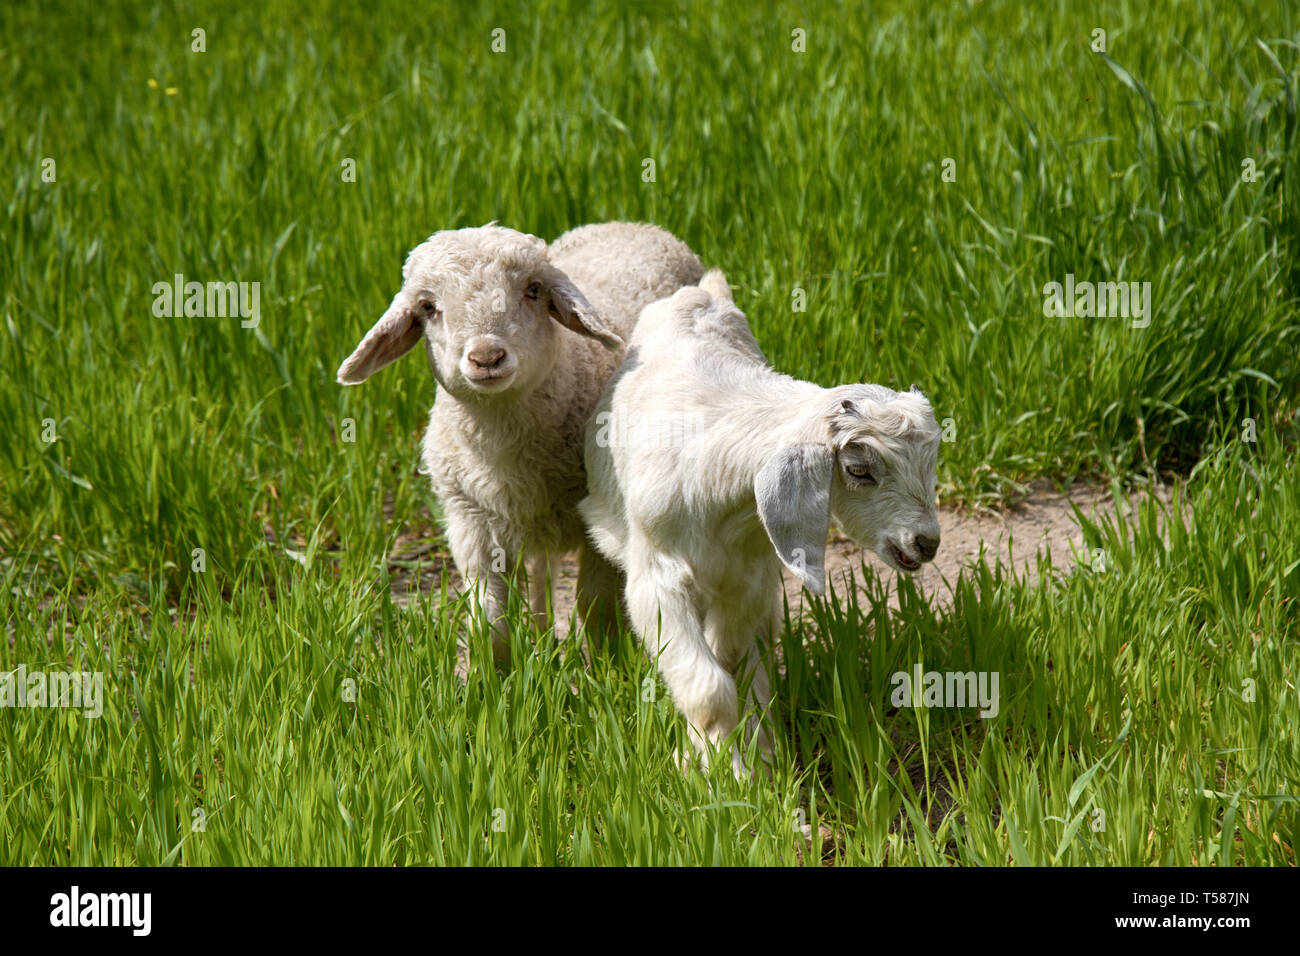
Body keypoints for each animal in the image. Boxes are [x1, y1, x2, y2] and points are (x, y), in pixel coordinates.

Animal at [337, 222, 704, 663]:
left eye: (533, 290)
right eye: (427, 307)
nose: (487, 358)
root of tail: (632, 225)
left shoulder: (602, 518)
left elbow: (595, 607)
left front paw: (608, 667)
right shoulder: (470, 522)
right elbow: (489, 621)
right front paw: (497, 676)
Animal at [579, 272, 943, 775]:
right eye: (859, 470)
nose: (926, 542)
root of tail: (706, 291)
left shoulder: (747, 578)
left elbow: (731, 660)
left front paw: (740, 759)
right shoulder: (656, 578)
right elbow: (710, 686)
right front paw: (713, 766)